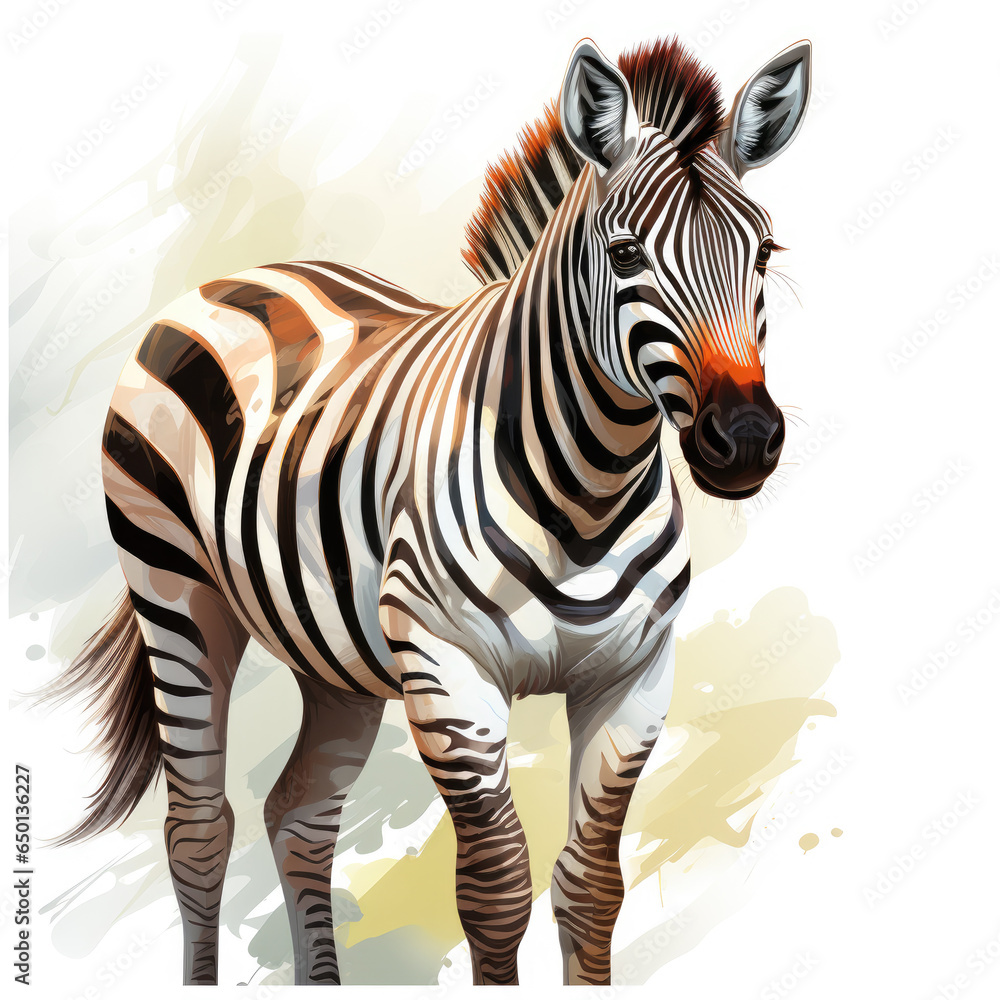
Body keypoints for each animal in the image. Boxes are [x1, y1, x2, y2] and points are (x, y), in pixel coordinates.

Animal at [48, 35, 811, 986]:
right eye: (628, 255)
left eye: (765, 255)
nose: (744, 439)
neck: (587, 493)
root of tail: (239, 277)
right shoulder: (450, 673)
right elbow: (496, 891)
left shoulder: (634, 678)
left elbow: (591, 889)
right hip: (178, 596)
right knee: (197, 828)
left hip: (332, 657)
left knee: (298, 814)